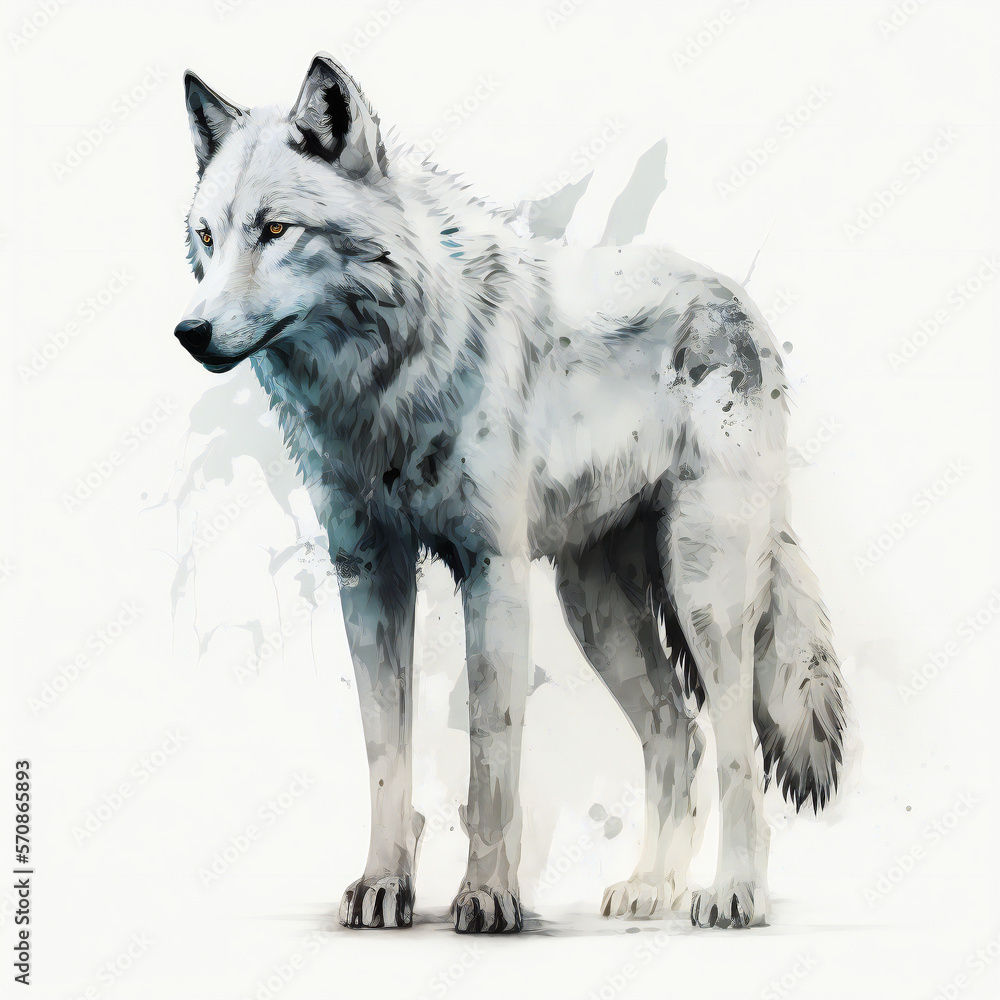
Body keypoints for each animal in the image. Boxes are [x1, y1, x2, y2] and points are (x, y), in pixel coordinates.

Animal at [175, 54, 849, 933]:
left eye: (277, 230)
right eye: (207, 237)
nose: (189, 333)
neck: (387, 382)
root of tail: (735, 298)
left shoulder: (490, 568)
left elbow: (491, 755)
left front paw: (489, 899)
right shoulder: (368, 571)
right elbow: (386, 752)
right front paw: (383, 887)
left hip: (706, 594)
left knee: (736, 749)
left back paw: (732, 894)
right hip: (596, 611)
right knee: (677, 734)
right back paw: (651, 888)